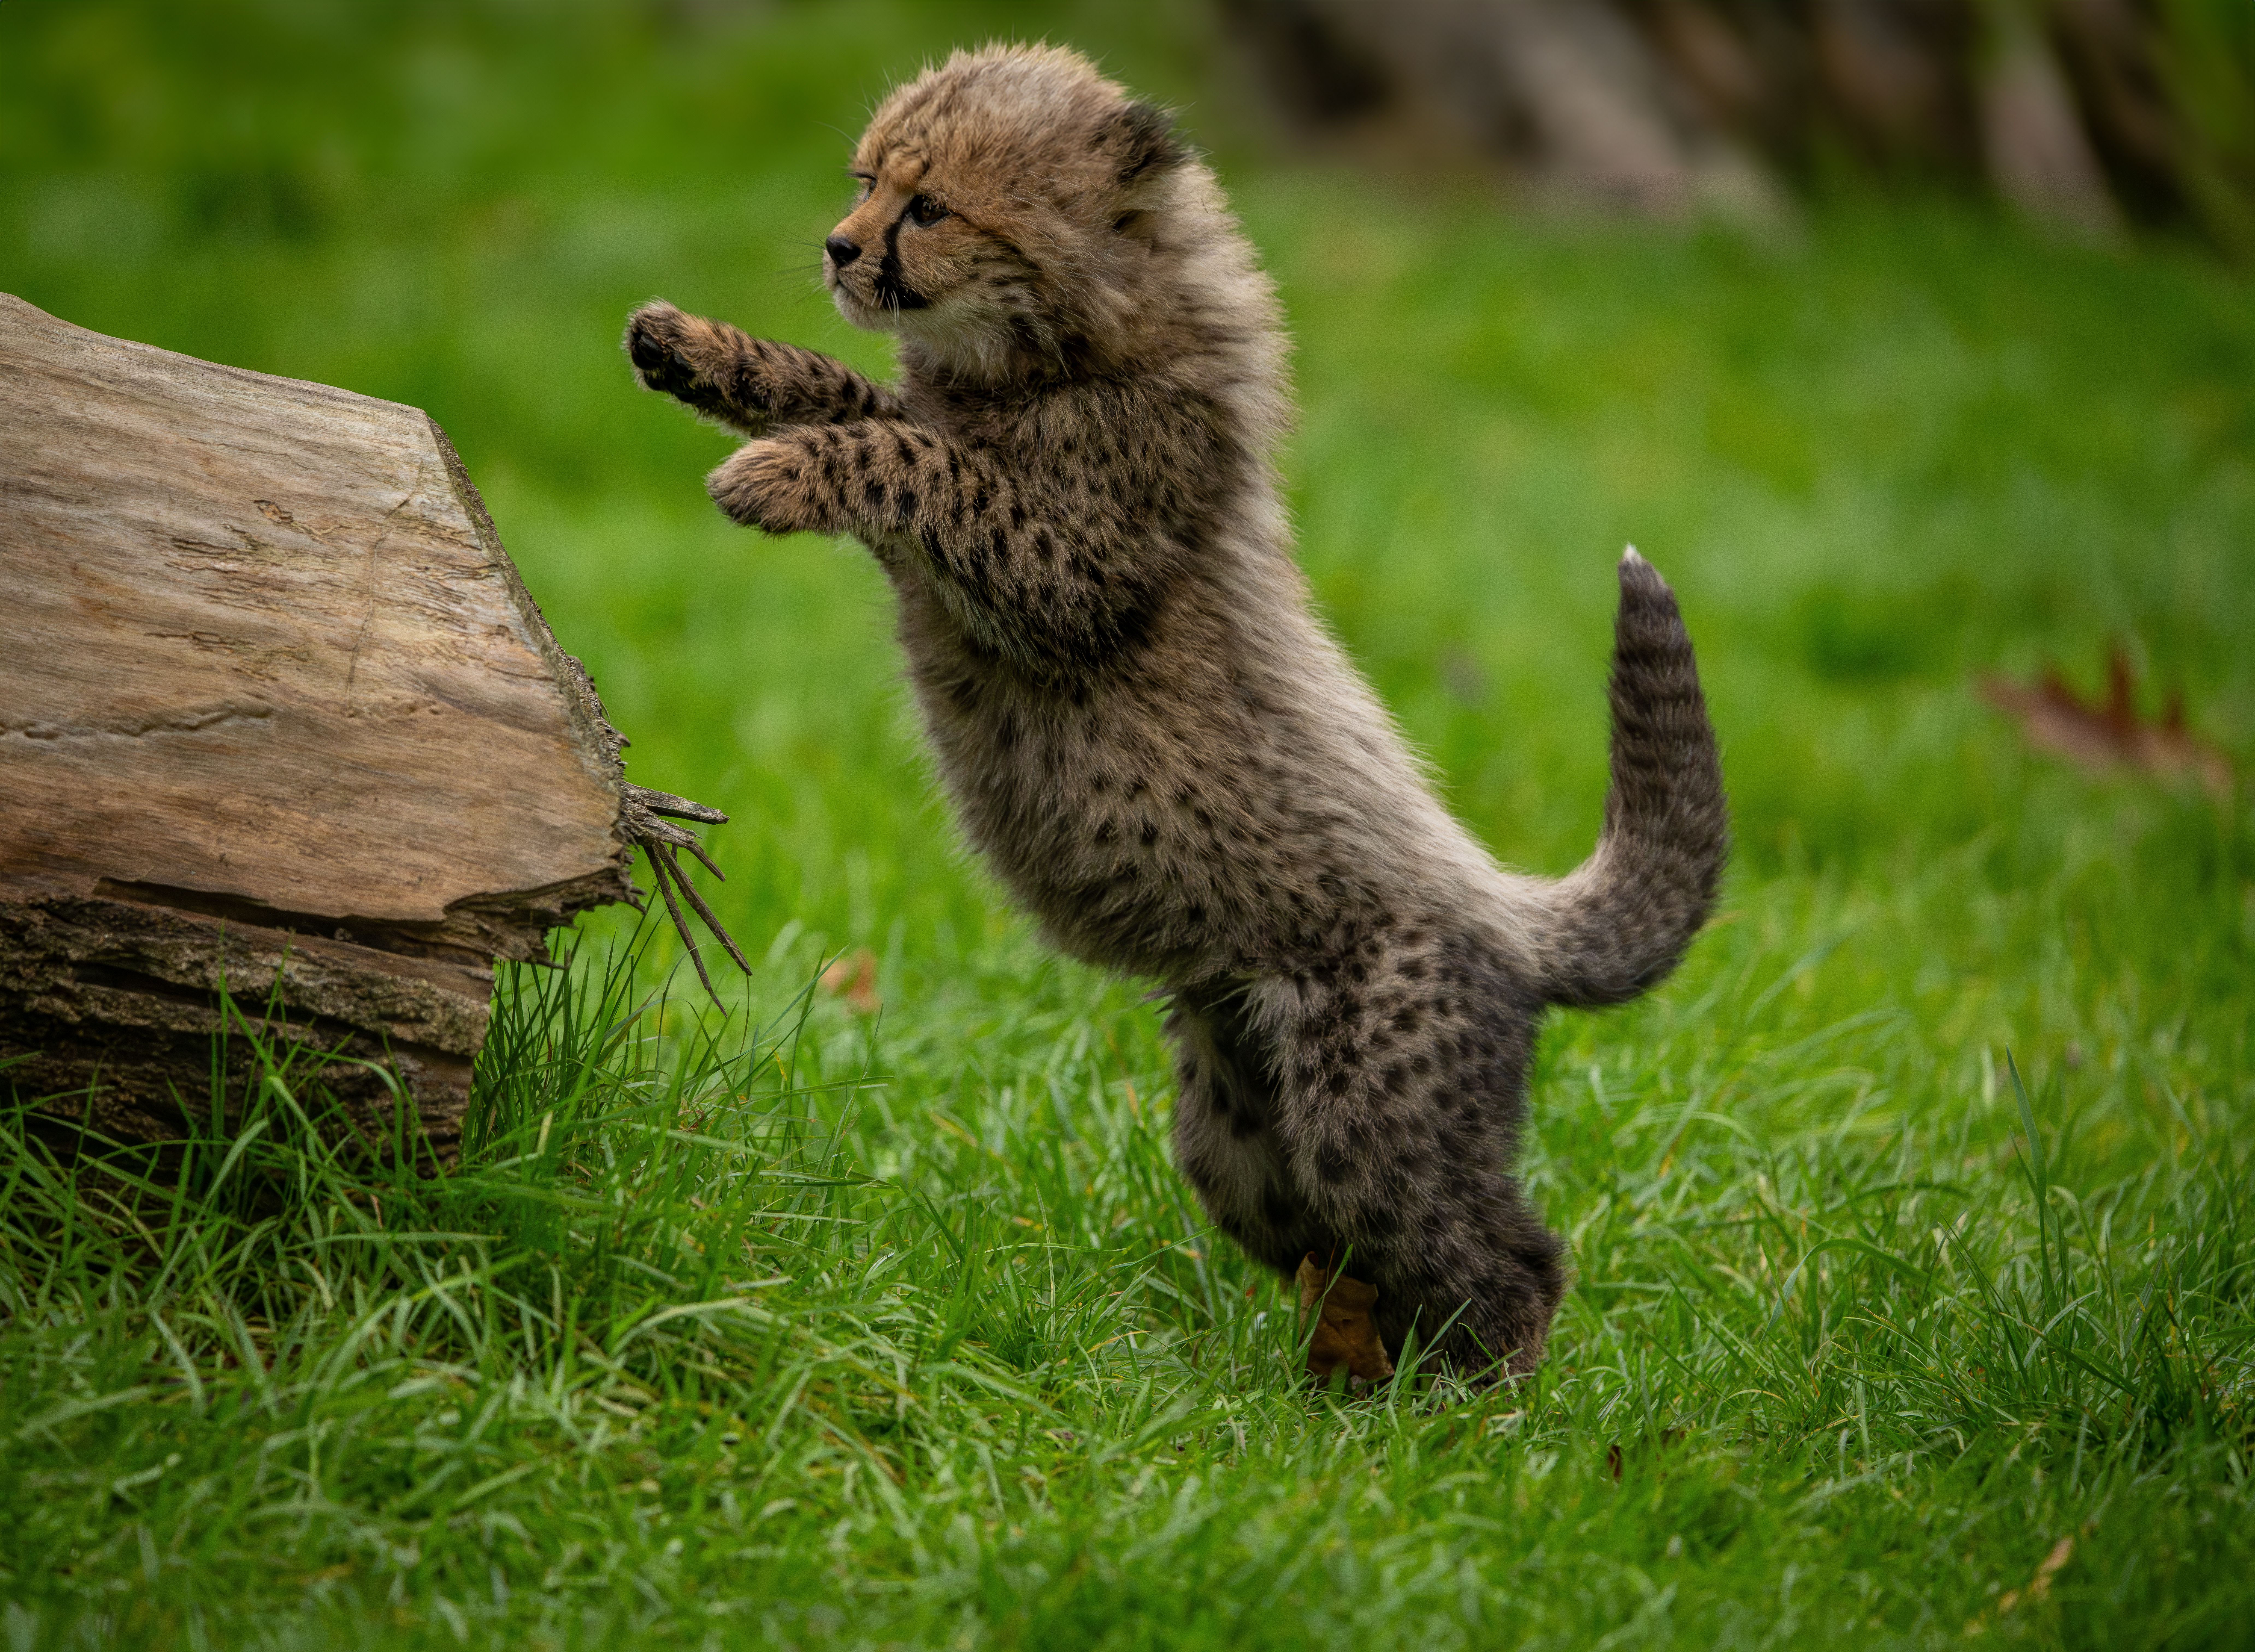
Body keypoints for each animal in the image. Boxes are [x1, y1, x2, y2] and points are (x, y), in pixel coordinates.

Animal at [623, 41, 1728, 1379]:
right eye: (863, 182)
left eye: (927, 207)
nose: (839, 248)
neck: (1065, 343)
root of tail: (1505, 914)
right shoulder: (951, 426)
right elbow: (853, 394)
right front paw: (697, 349)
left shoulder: (1066, 569)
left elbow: (915, 462)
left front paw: (781, 470)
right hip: (1238, 1117)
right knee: (1328, 1241)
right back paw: (1343, 1379)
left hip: (1374, 1102)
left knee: (1501, 1256)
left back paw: (1480, 1410)